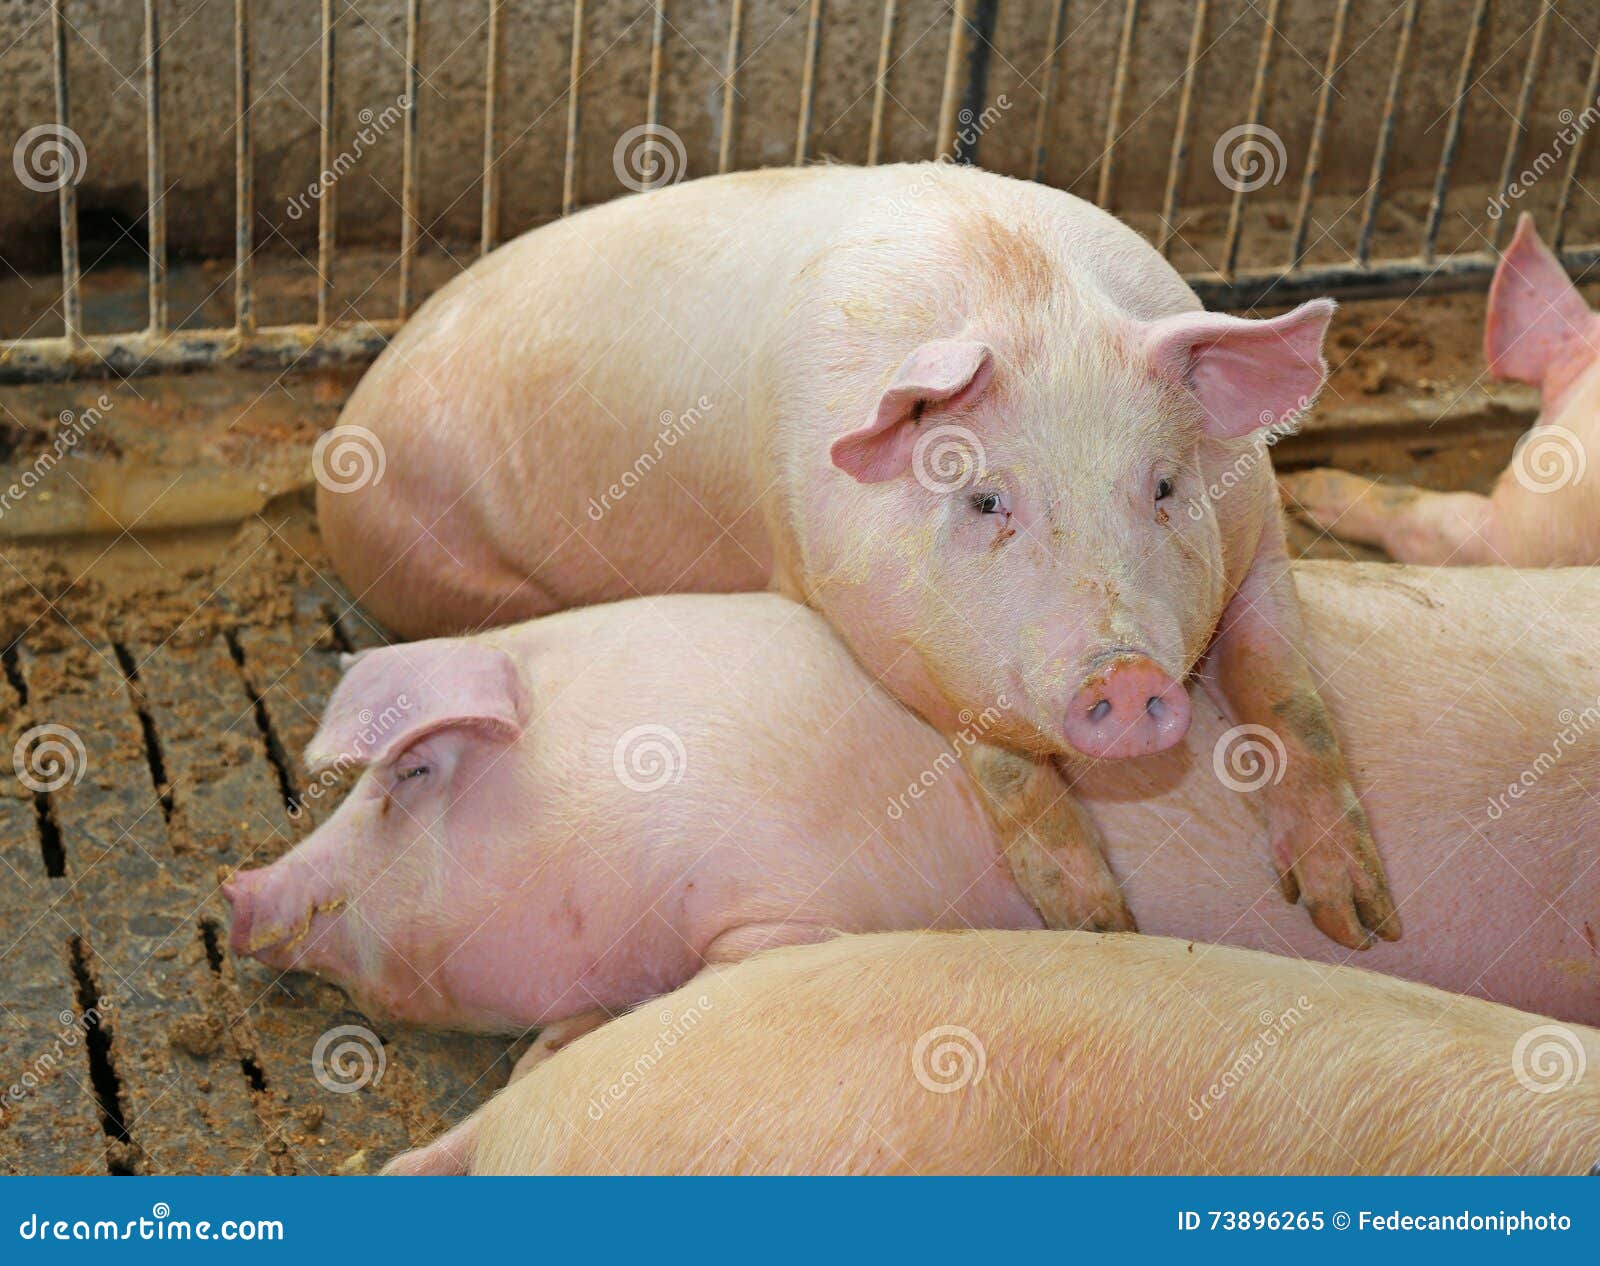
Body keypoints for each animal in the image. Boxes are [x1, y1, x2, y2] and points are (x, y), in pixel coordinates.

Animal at [319, 162, 1392, 948]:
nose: (1124, 677)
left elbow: (1289, 693)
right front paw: (1101, 928)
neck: (1025, 292)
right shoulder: (853, 604)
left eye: (1164, 486)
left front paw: (1357, 919)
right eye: (986, 499)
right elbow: (1001, 764)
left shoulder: (1257, 529)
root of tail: (347, 429)